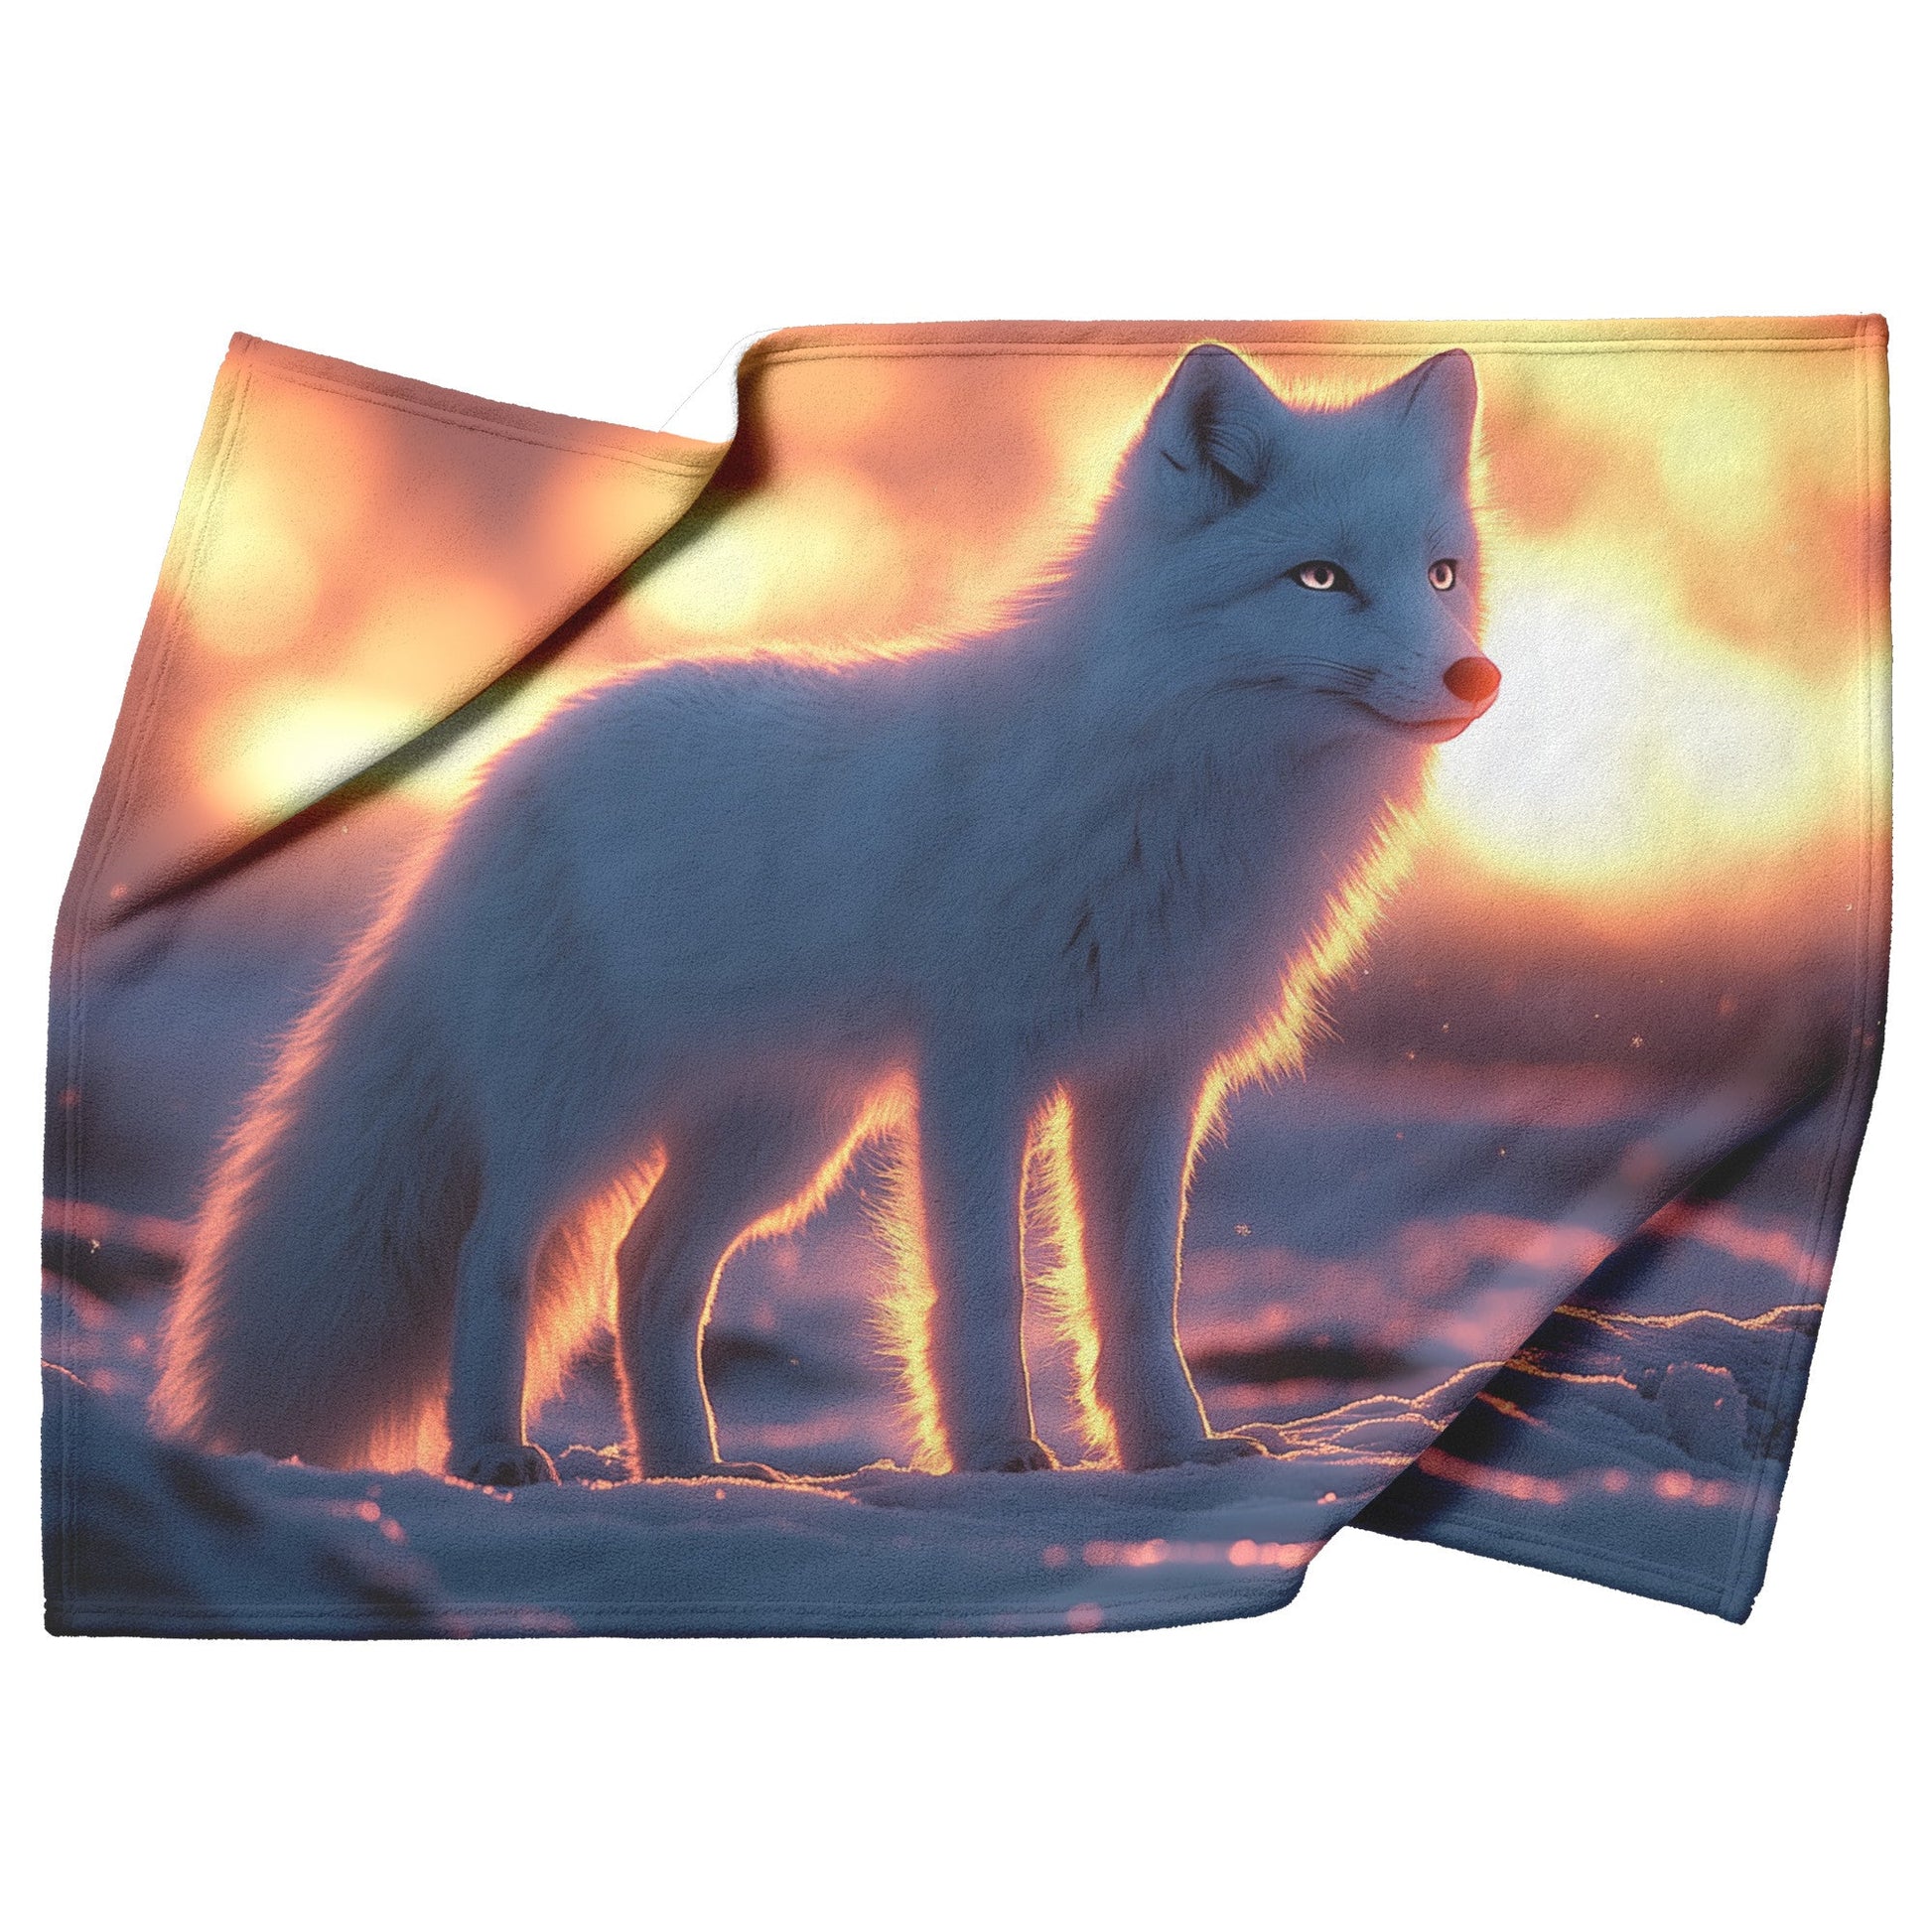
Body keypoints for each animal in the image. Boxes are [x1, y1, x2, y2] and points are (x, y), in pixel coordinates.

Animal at [153, 342, 1499, 1488]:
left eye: (1439, 574)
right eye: (1319, 576)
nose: (1475, 675)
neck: (1175, 784)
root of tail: (503, 774)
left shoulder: (1148, 1077)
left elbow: (1139, 1296)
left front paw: (1174, 1453)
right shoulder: (977, 1065)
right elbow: (985, 1283)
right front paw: (996, 1454)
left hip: (781, 1134)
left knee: (648, 1270)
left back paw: (688, 1471)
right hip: (587, 1116)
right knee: (499, 1256)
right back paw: (494, 1454)